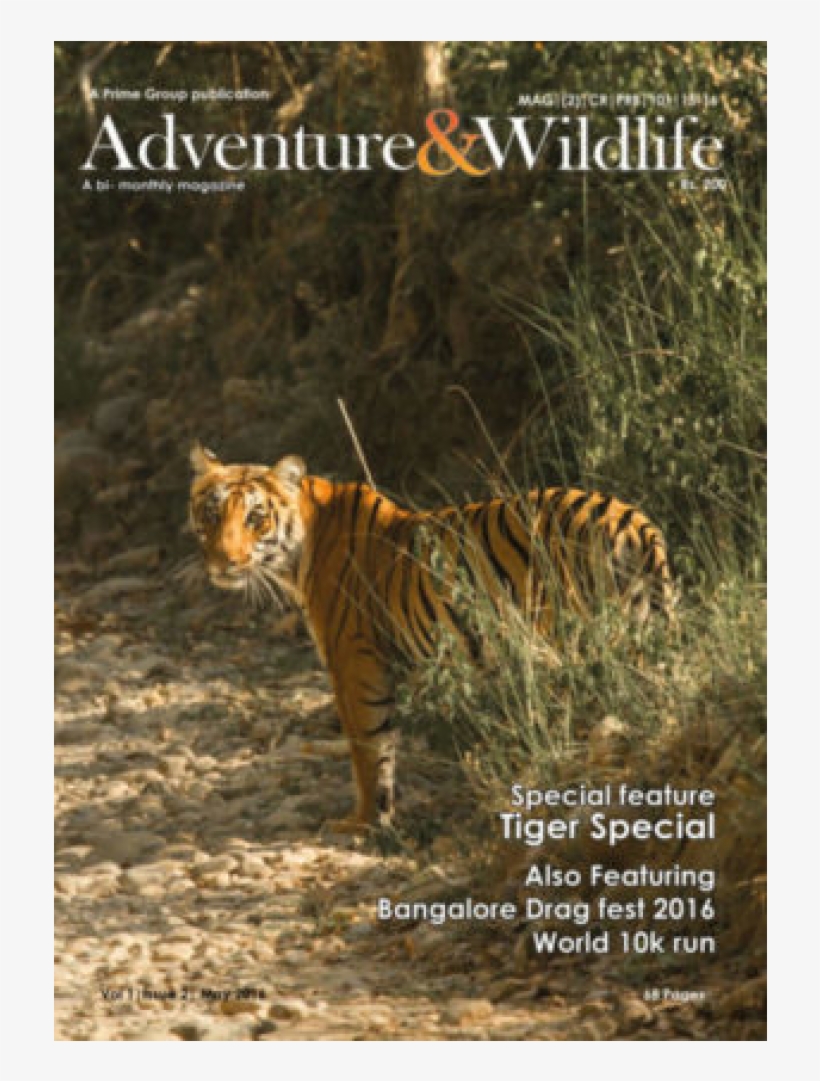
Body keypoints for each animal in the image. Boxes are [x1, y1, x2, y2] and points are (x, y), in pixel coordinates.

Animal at [188, 442, 674, 833]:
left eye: (256, 517)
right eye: (211, 513)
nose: (224, 562)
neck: (300, 550)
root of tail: (634, 522)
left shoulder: (355, 663)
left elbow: (368, 749)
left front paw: (363, 822)